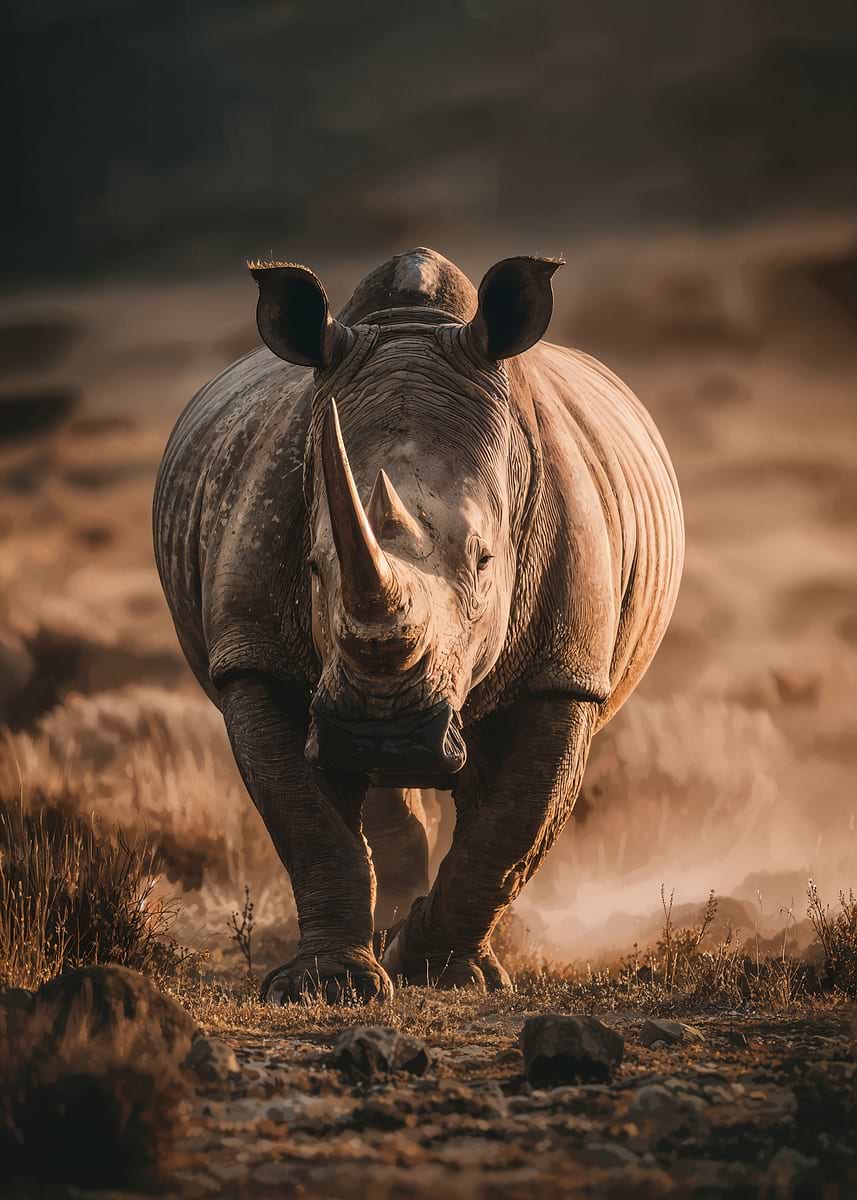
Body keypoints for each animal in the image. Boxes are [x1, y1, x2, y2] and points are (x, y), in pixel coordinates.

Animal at [153, 247, 683, 1002]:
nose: (384, 732)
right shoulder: (252, 657)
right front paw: (330, 985)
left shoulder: (566, 669)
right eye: (313, 567)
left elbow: (512, 828)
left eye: (485, 560)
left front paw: (444, 971)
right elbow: (306, 822)